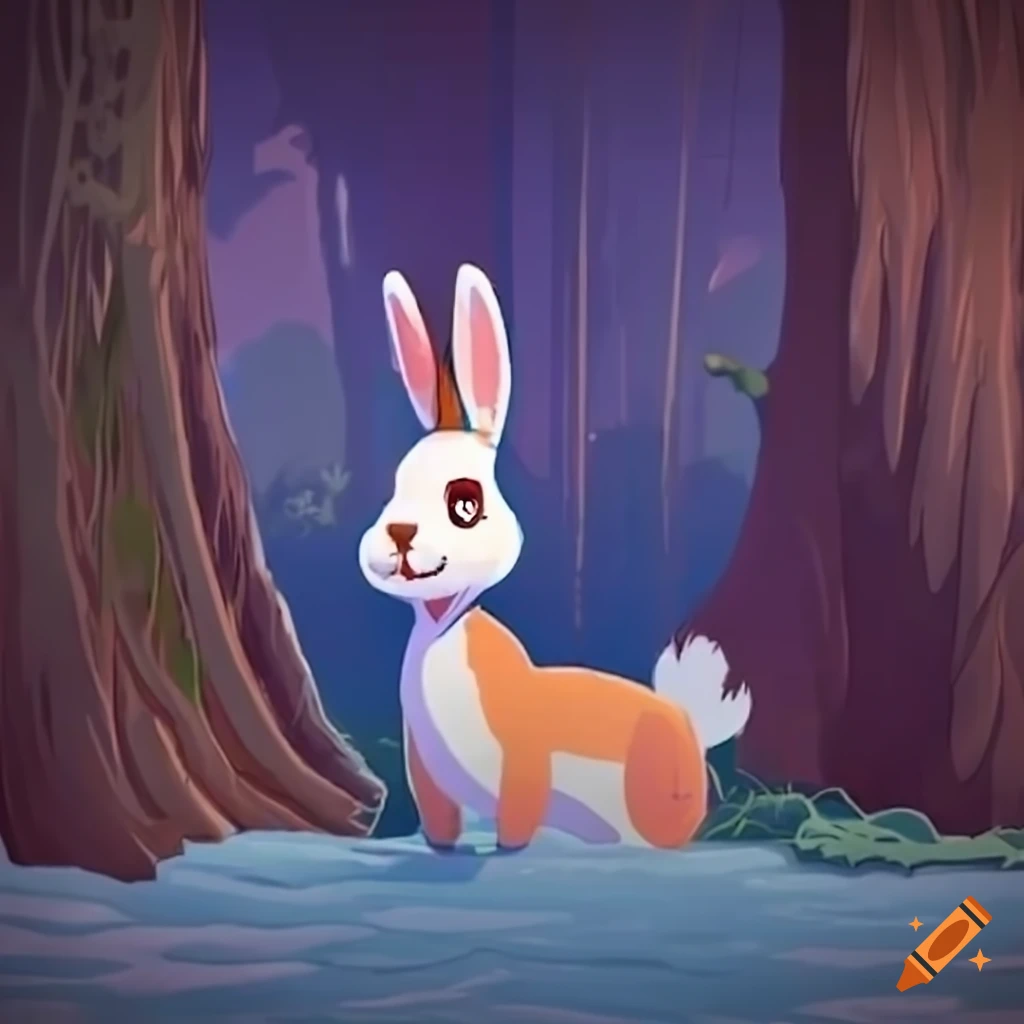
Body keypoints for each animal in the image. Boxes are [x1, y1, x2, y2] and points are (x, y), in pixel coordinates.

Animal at [359, 264, 753, 851]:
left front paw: (508, 850)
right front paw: (442, 848)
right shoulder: (427, 771)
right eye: (394, 490)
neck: (439, 632)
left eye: (465, 503)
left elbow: (519, 811)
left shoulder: (523, 756)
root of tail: (691, 722)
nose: (400, 534)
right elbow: (439, 822)